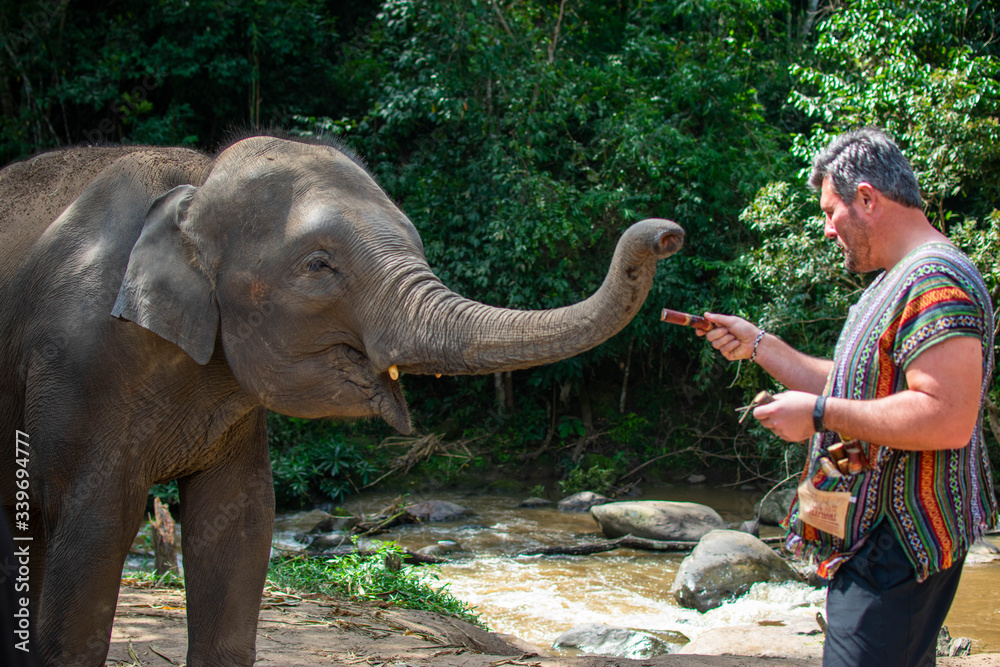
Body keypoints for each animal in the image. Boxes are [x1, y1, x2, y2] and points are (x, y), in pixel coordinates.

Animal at [0, 134, 684, 666]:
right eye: (318, 265)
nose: (668, 234)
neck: (195, 183)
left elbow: (239, 522)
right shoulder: (74, 364)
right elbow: (95, 523)